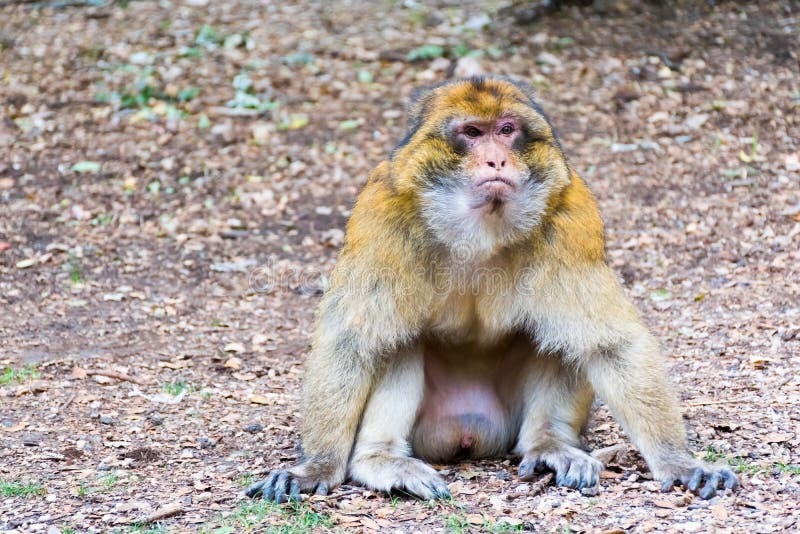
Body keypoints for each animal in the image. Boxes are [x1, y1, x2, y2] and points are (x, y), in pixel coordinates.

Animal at [245, 77, 739, 503]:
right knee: (398, 341)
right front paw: (316, 467)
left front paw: (679, 461)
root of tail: (469, 434)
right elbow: (351, 342)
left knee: (558, 337)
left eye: (506, 130)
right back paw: (381, 460)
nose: (496, 159)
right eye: (472, 132)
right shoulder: (381, 217)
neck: (479, 226)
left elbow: (608, 345)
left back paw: (549, 445)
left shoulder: (571, 214)